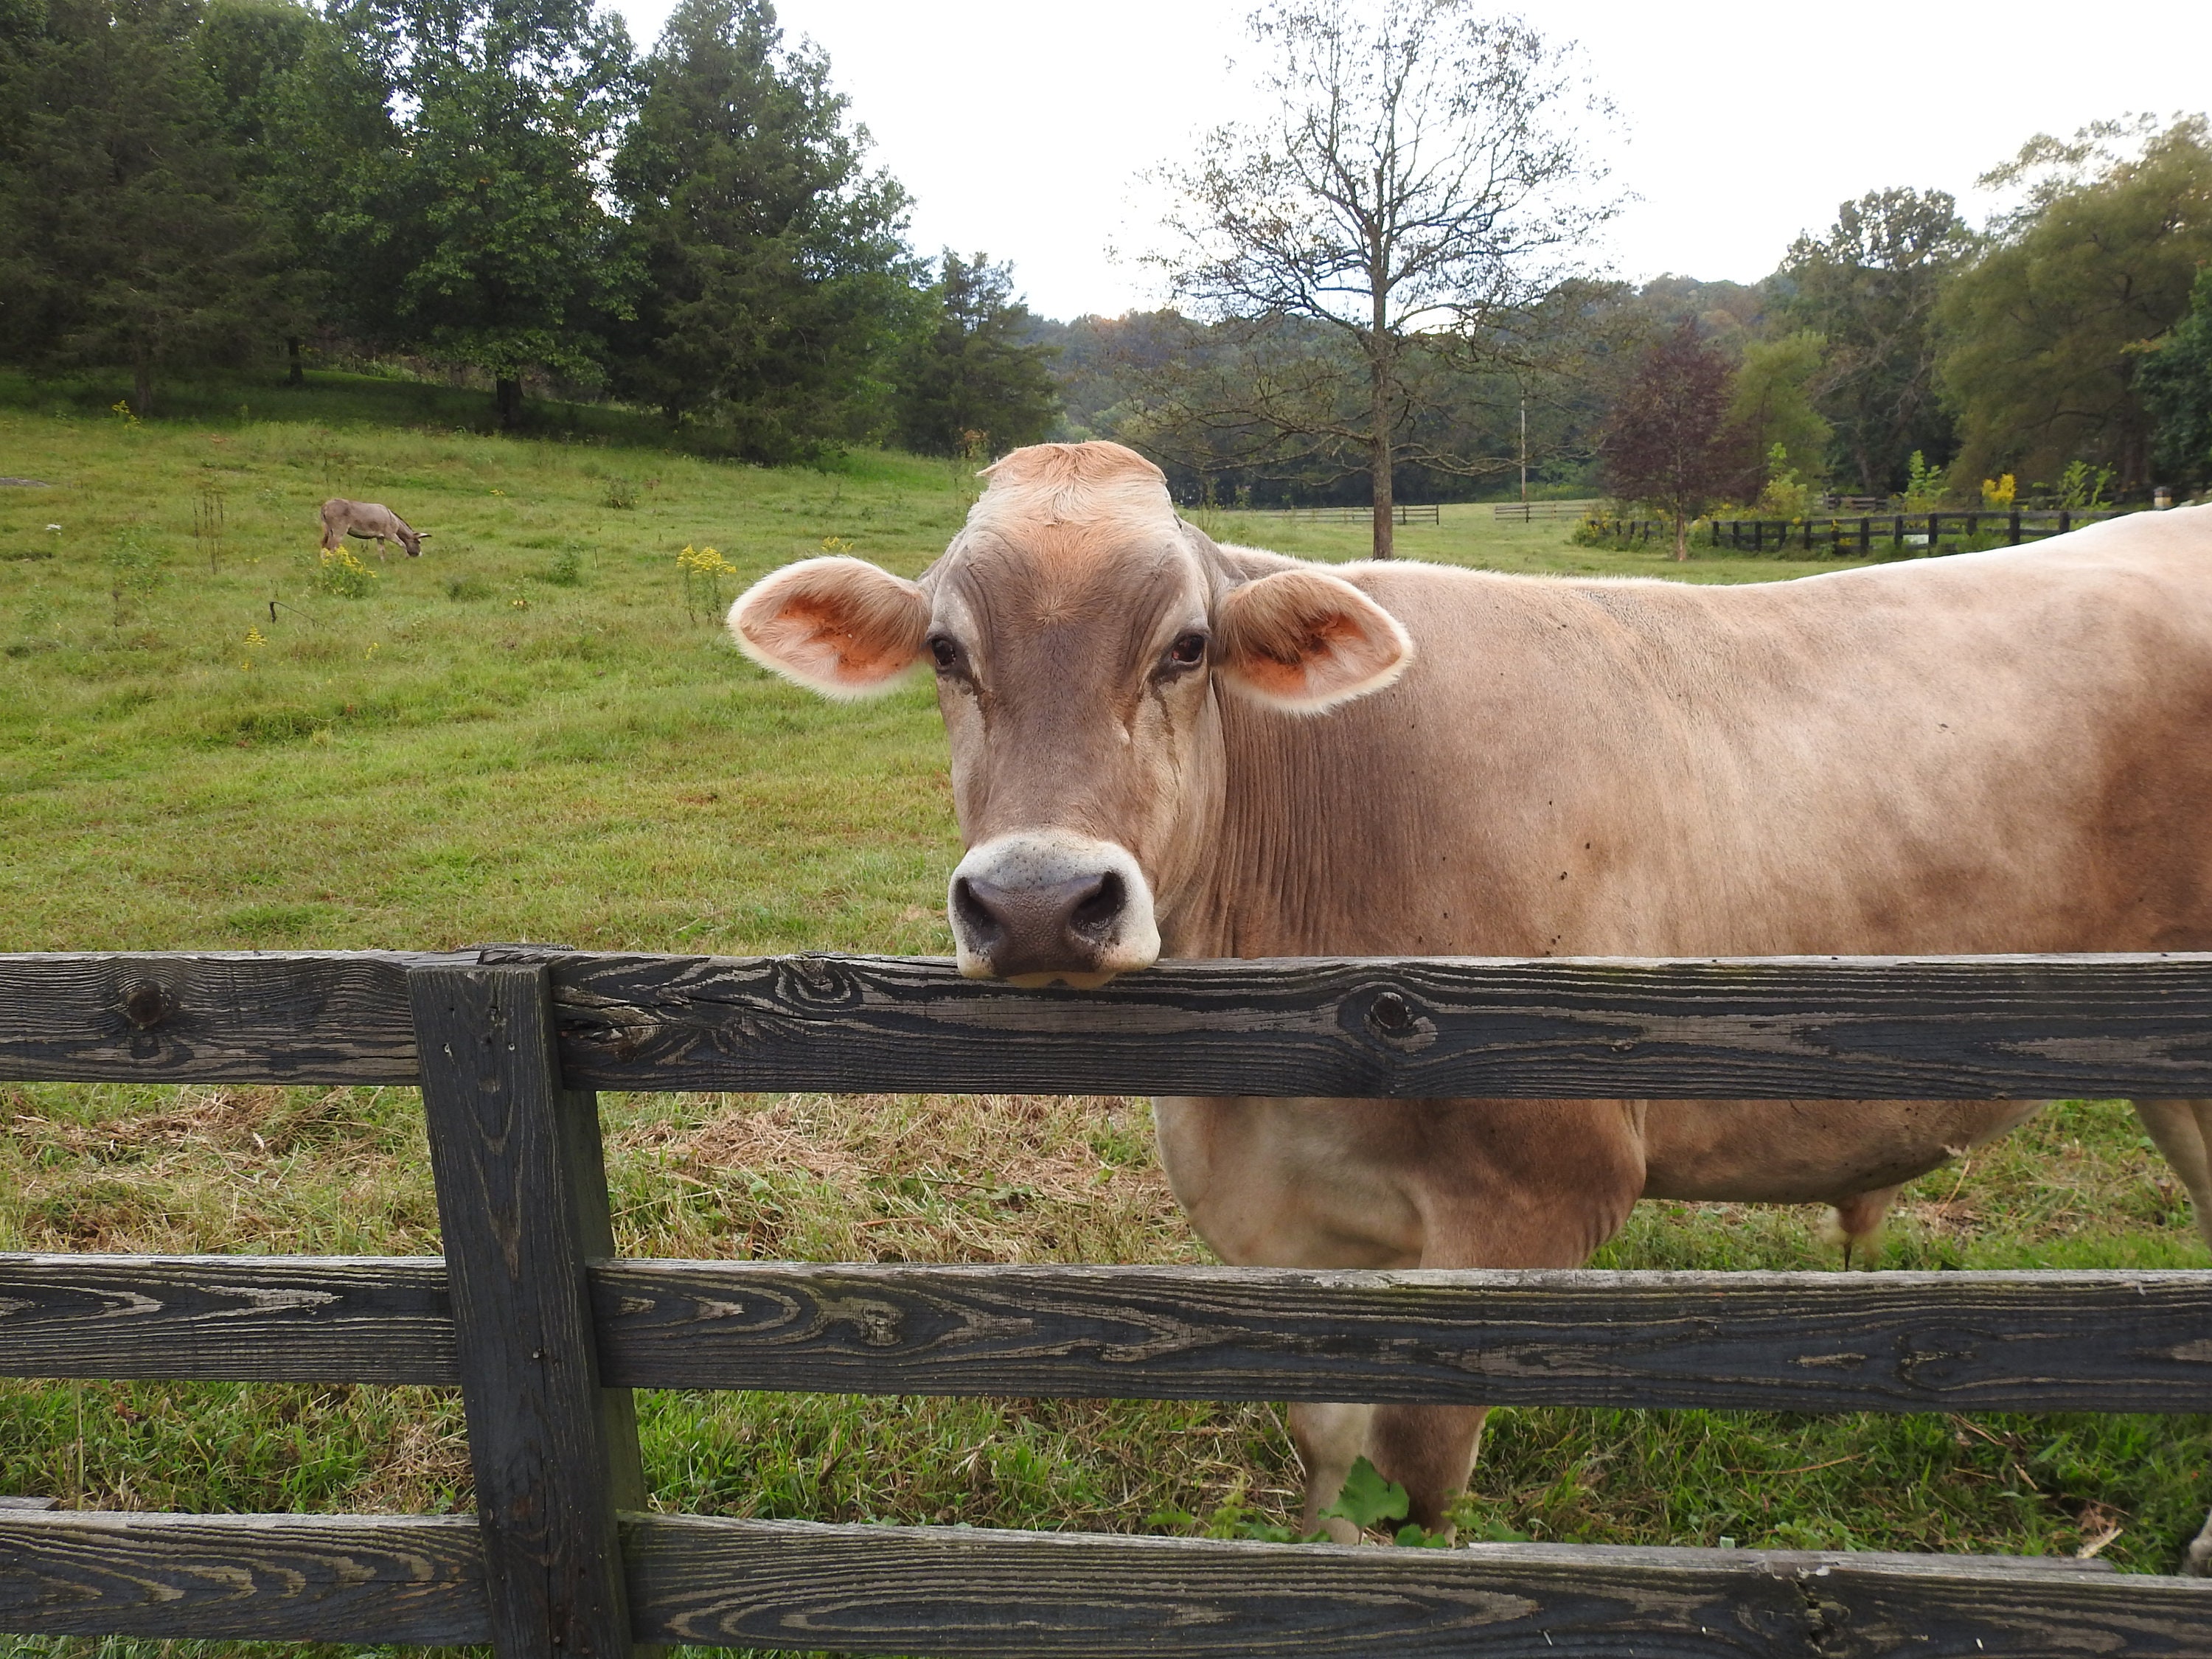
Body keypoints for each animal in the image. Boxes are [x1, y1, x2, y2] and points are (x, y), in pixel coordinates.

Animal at [319, 499, 429, 559]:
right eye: (419, 542)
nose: (420, 555)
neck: (392, 518)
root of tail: (325, 506)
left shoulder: (380, 537)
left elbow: (382, 550)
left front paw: (383, 562)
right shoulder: (390, 535)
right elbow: (403, 544)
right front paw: (406, 557)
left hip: (328, 530)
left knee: (325, 545)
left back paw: (324, 562)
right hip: (339, 531)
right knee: (333, 547)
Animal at [729, 440, 2212, 1573]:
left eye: (1187, 647)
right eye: (944, 649)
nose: (1040, 901)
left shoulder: (1529, 1207)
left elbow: (1419, 1494)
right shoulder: (1291, 1233)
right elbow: (1331, 1470)